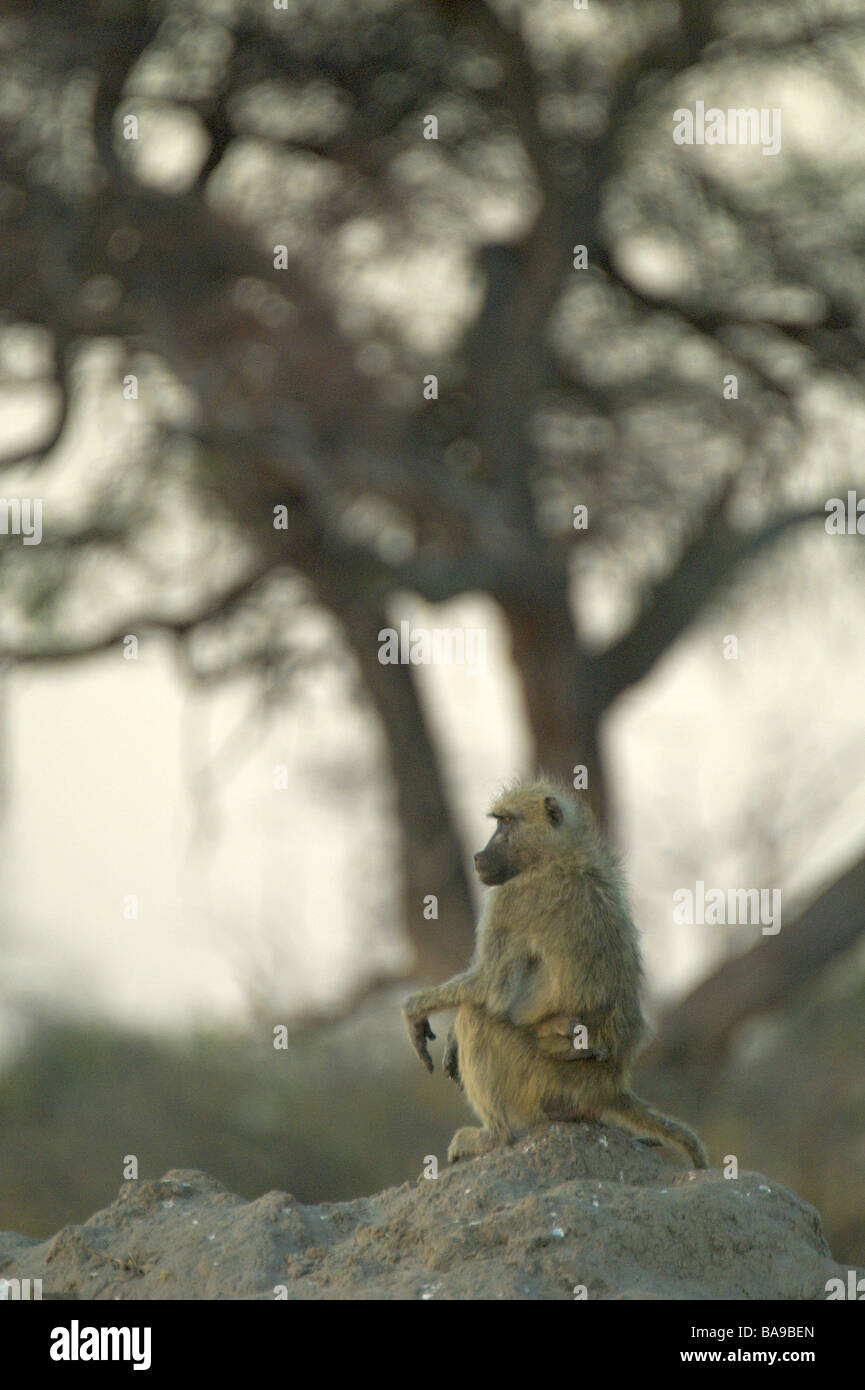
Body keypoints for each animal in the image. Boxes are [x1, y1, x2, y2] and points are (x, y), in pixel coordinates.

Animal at [402, 779, 708, 1169]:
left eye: (506, 823)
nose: (478, 857)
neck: (557, 853)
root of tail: (610, 1086)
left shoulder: (512, 898)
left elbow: (491, 987)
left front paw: (414, 1010)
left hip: (548, 1081)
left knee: (477, 1018)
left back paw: (493, 1137)